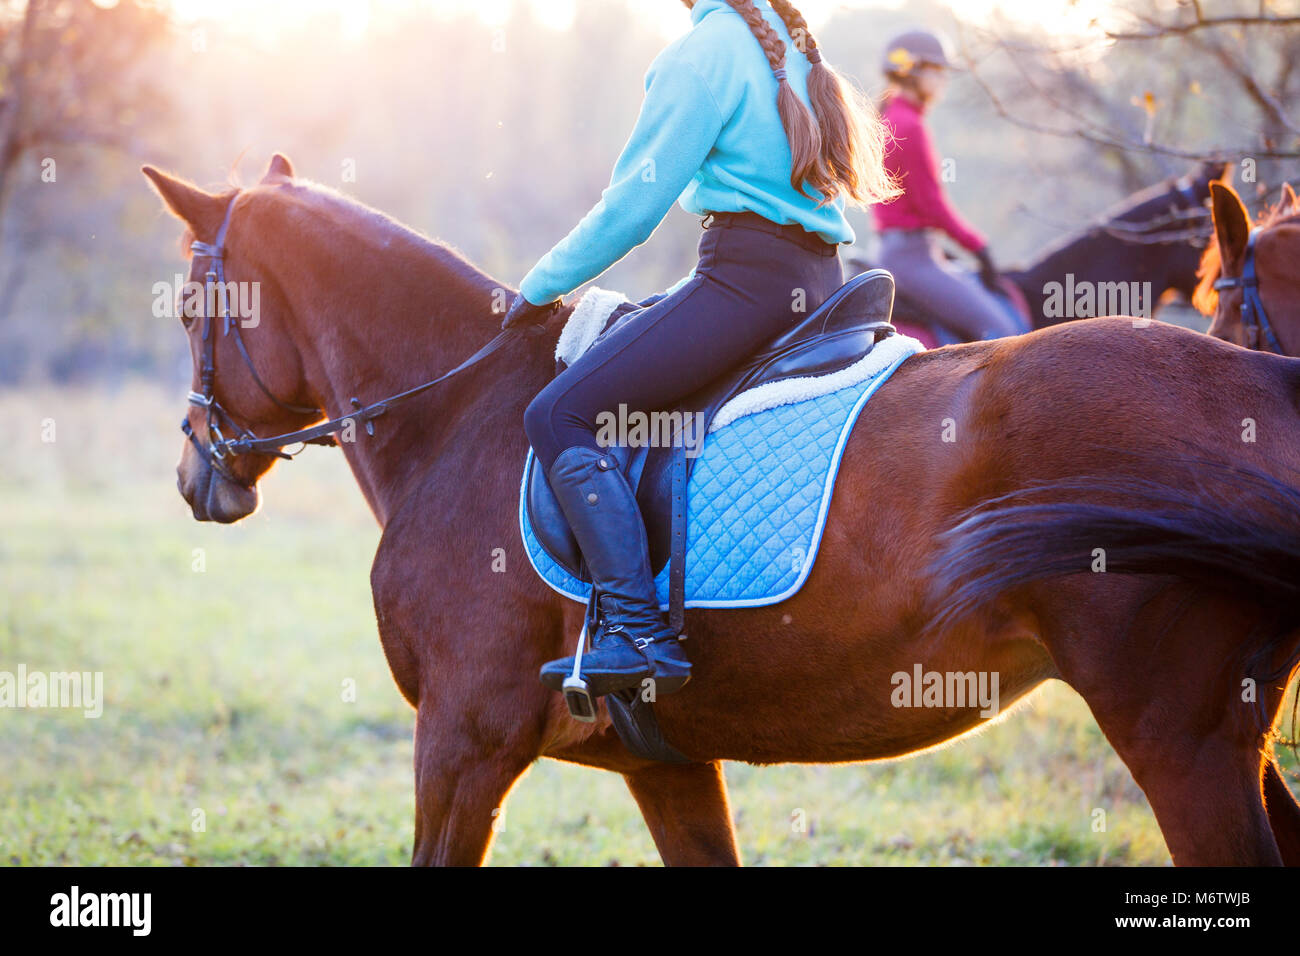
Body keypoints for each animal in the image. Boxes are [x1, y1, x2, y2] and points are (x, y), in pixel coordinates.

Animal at [144, 154, 1300, 866]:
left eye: (197, 307)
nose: (199, 473)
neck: (459, 409)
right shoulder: (665, 761)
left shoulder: (462, 742)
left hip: (1181, 741)